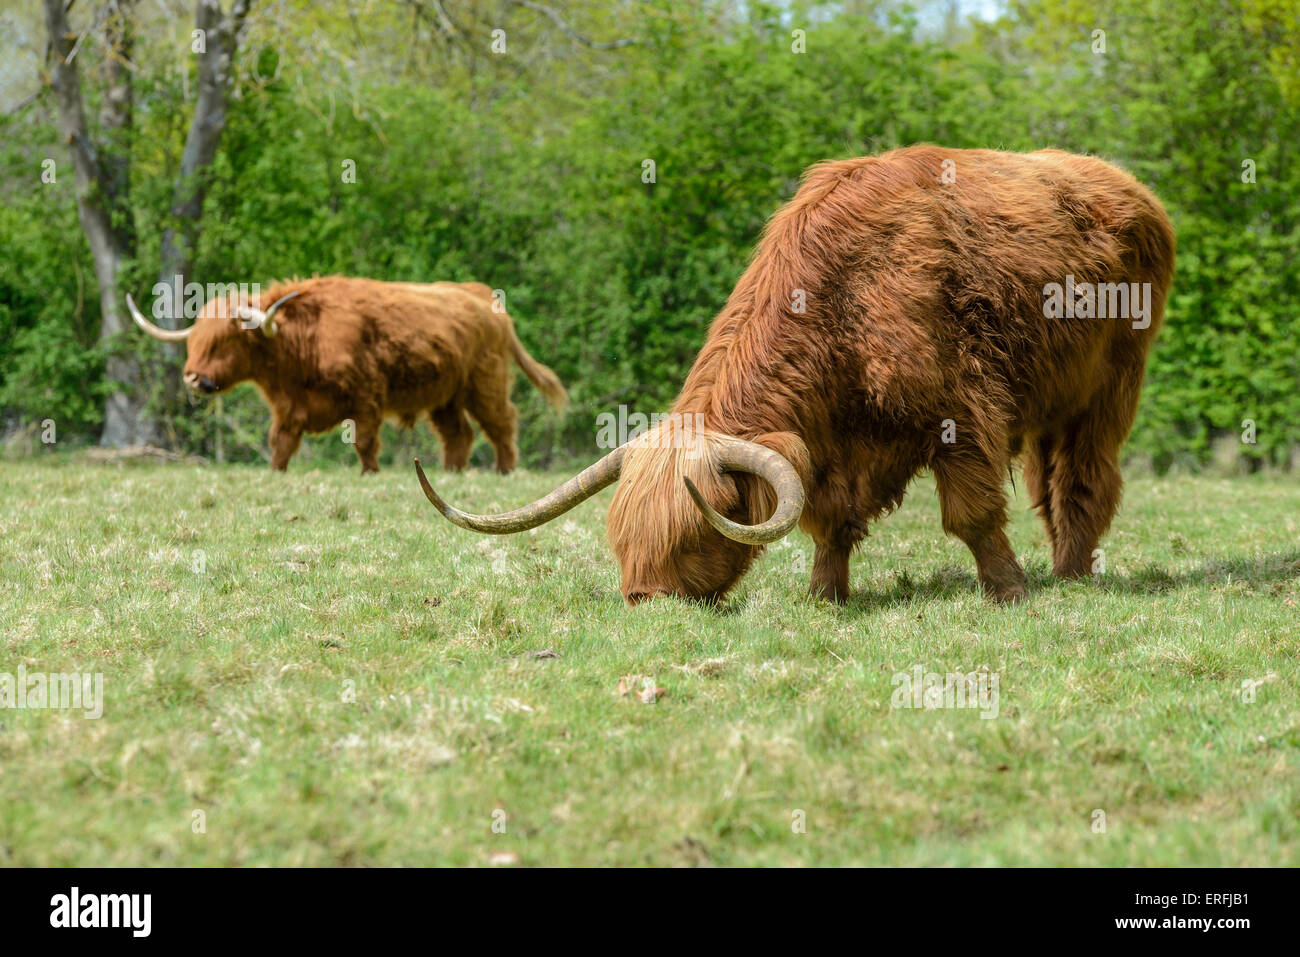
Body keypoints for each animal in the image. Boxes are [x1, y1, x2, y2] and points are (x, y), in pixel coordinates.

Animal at [129, 276, 567, 473]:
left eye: (224, 341)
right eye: (195, 339)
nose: (192, 378)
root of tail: (484, 297)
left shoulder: (366, 398)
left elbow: (365, 443)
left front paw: (369, 474)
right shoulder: (288, 410)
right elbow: (280, 444)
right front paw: (276, 473)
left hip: (485, 384)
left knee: (501, 423)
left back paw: (505, 470)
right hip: (446, 396)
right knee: (459, 434)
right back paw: (451, 472)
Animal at [413, 146, 1176, 605]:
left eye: (692, 533)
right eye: (621, 536)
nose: (643, 602)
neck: (843, 293)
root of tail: (1127, 186)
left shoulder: (960, 410)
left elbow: (972, 513)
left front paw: (1008, 588)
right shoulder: (831, 444)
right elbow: (830, 521)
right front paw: (824, 594)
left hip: (1109, 389)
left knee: (1085, 478)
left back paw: (1070, 572)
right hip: (1053, 396)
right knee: (1053, 481)